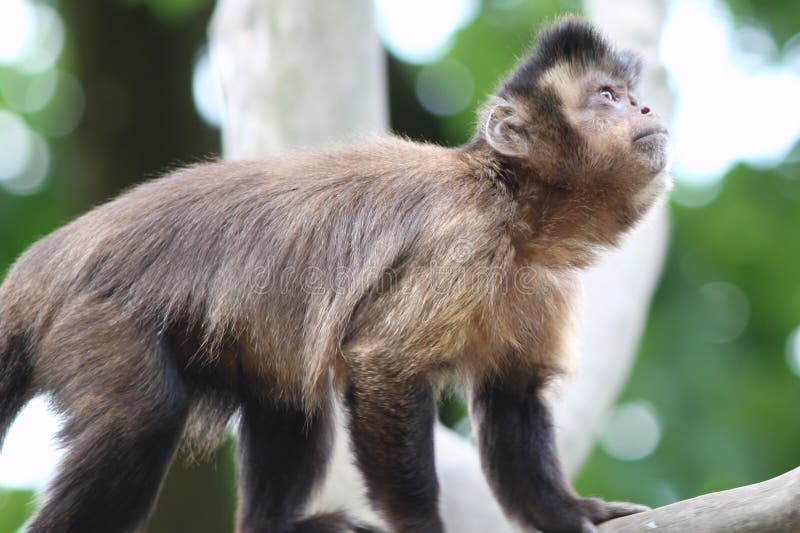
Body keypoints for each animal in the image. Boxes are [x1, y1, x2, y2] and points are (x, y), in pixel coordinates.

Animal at [0, 17, 669, 533]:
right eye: (606, 96)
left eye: (626, 94)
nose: (644, 106)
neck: (513, 207)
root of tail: (36, 269)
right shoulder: (460, 243)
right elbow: (385, 366)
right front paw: (421, 526)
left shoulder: (544, 279)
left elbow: (513, 398)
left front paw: (568, 512)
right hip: (92, 316)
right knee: (142, 416)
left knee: (289, 394)